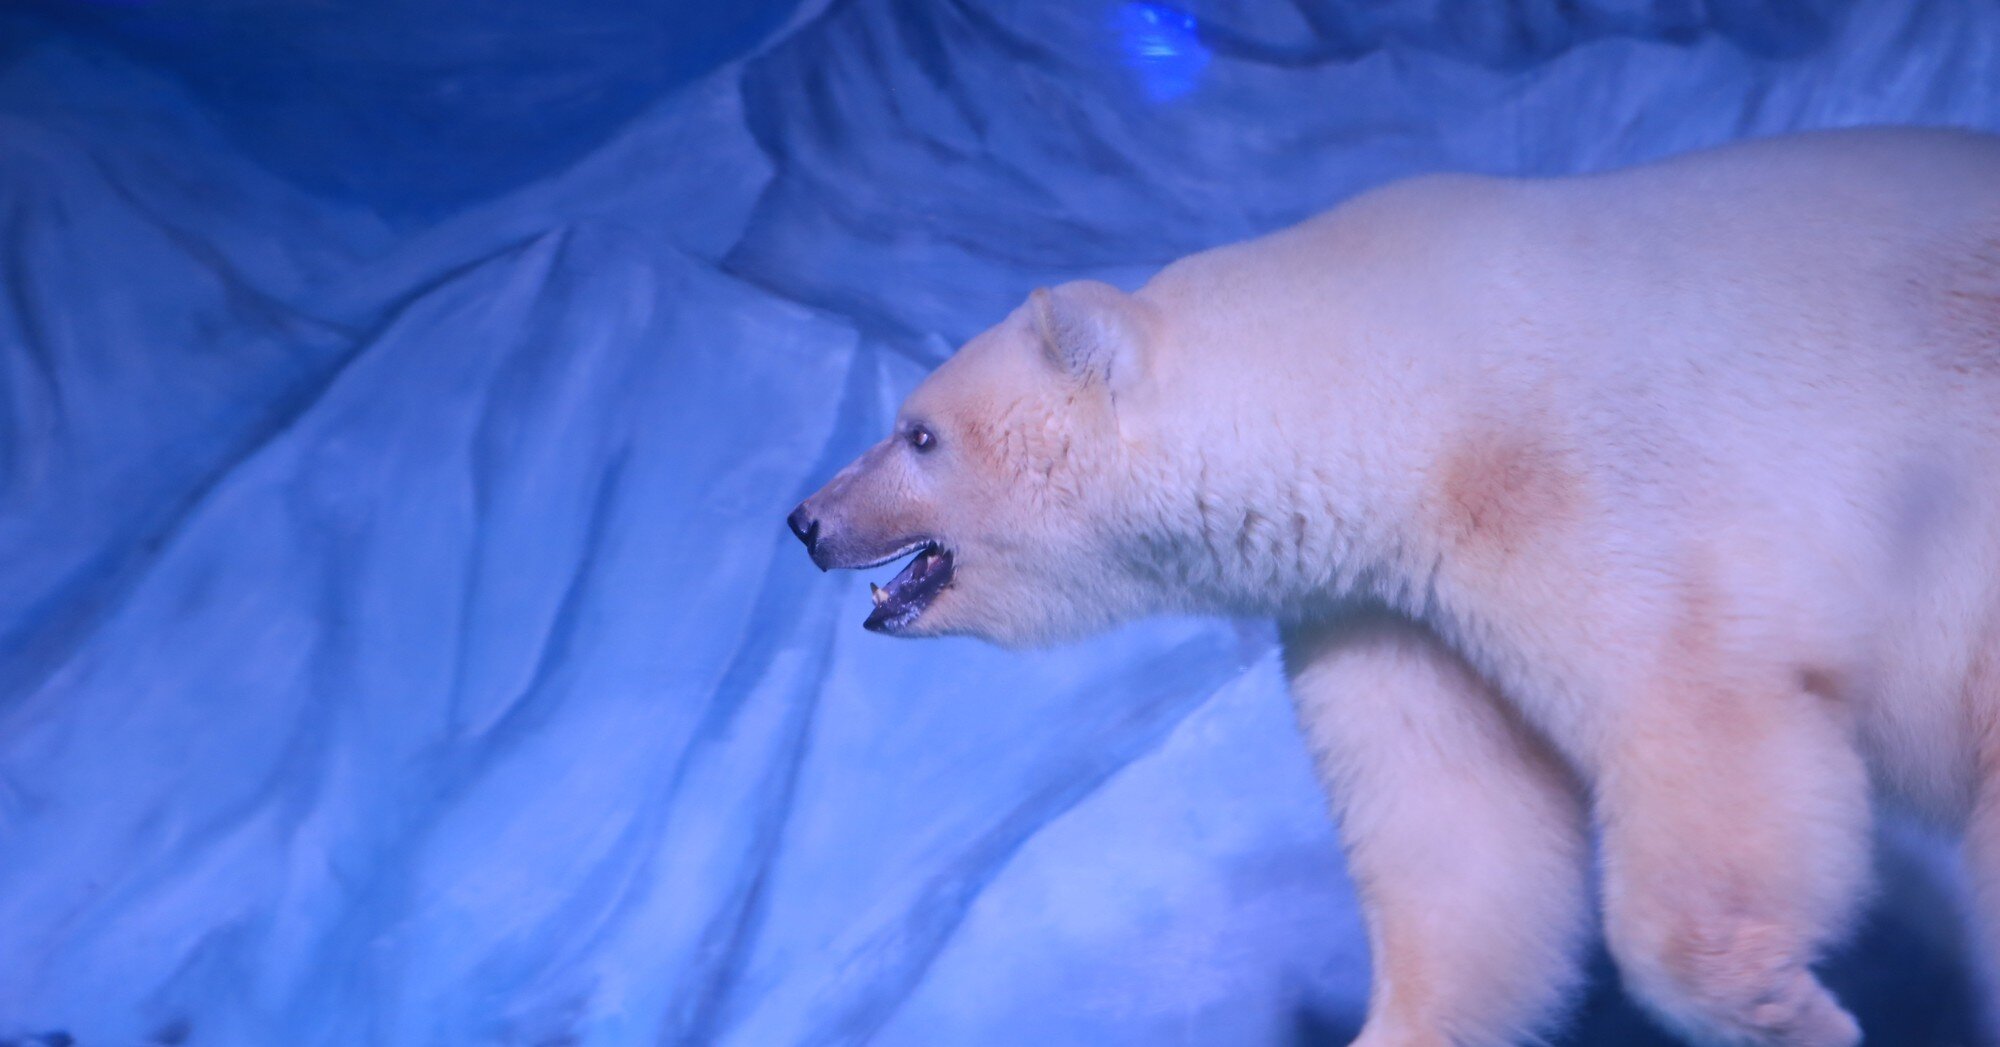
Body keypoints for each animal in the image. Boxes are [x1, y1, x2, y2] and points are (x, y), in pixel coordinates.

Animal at [786, 126, 2000, 1047]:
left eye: (918, 434)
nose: (804, 522)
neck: (1399, 382)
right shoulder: (1381, 599)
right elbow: (1457, 833)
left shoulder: (1572, 478)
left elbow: (1699, 704)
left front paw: (1775, 1005)